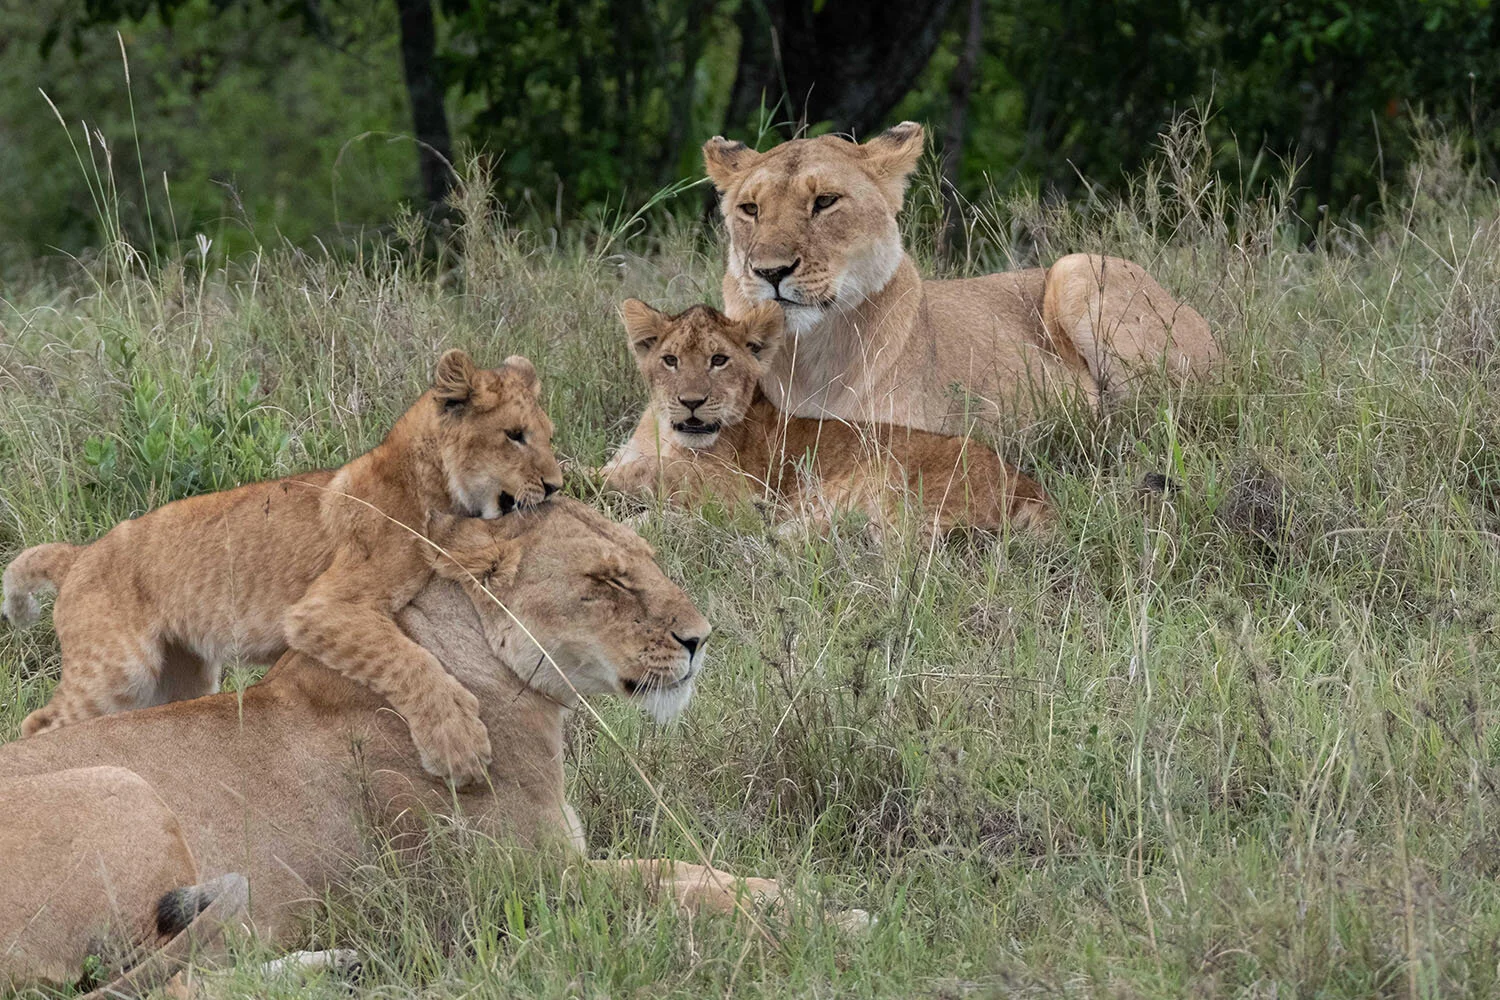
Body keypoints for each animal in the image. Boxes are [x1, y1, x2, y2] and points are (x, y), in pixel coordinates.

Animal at [0, 499, 857, 994]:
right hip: (121, 785)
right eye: (605, 581)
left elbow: (689, 870)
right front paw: (826, 922)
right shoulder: (521, 895)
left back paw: (334, 967)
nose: (701, 639)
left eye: (646, 560)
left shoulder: (566, 862)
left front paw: (811, 896)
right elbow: (672, 893)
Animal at [2, 349, 563, 786]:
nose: (557, 486)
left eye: (548, 435)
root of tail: (80, 554)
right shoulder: (321, 609)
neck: (429, 482)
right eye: (514, 435)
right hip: (120, 669)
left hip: (180, 677)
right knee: (40, 723)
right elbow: (410, 661)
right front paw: (459, 745)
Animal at [603, 299, 1052, 534]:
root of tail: (1031, 488)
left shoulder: (737, 493)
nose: (692, 402)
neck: (662, 433)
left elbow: (656, 476)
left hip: (884, 483)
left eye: (719, 360)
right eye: (670, 360)